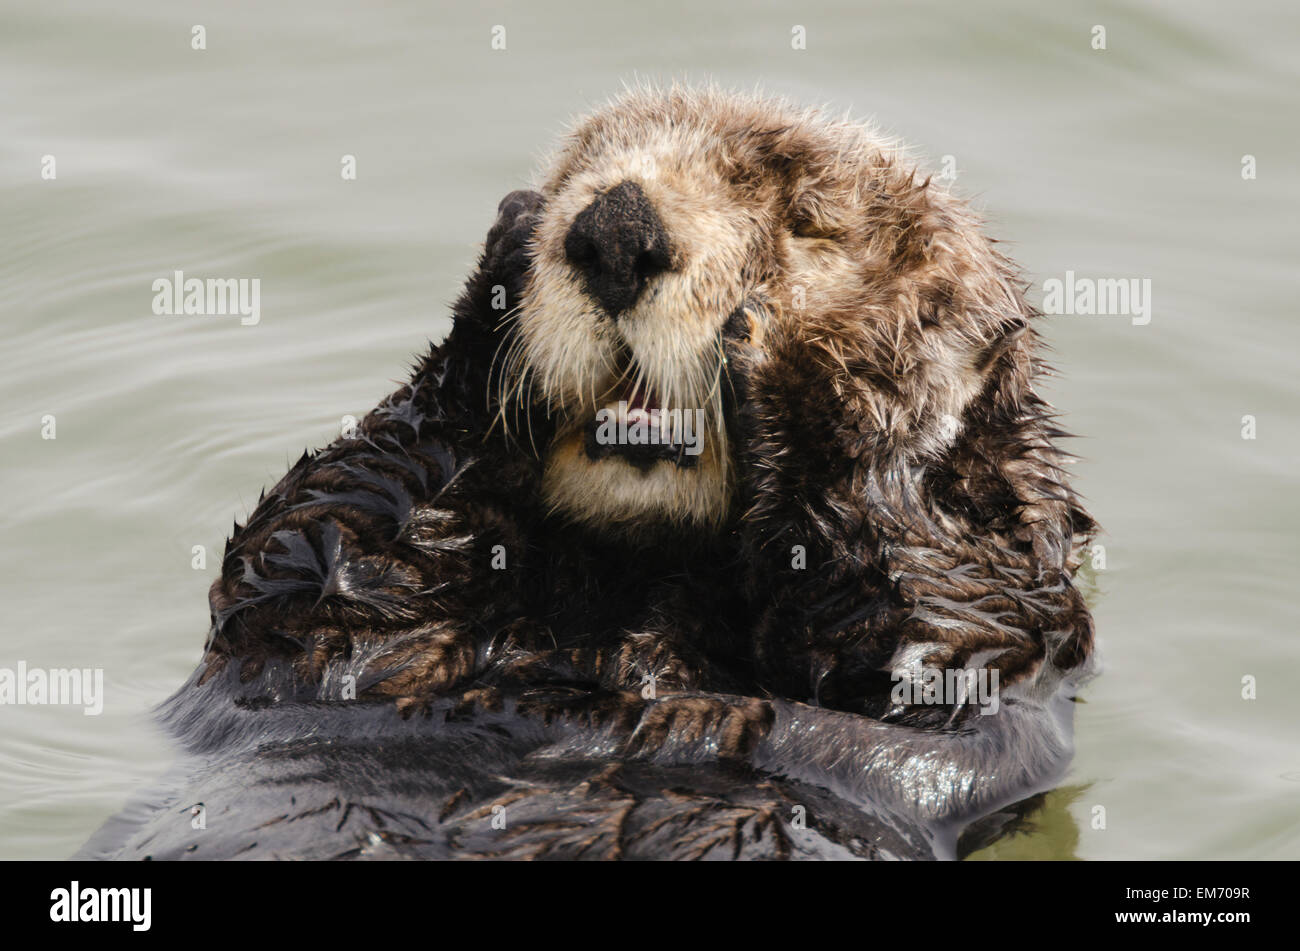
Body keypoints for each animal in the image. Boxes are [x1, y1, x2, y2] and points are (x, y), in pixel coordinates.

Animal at [80, 85, 1096, 861]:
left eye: (809, 225)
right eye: (580, 167)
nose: (614, 223)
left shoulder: (994, 644)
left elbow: (925, 623)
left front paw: (799, 376)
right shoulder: (309, 640)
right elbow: (321, 545)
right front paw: (510, 241)